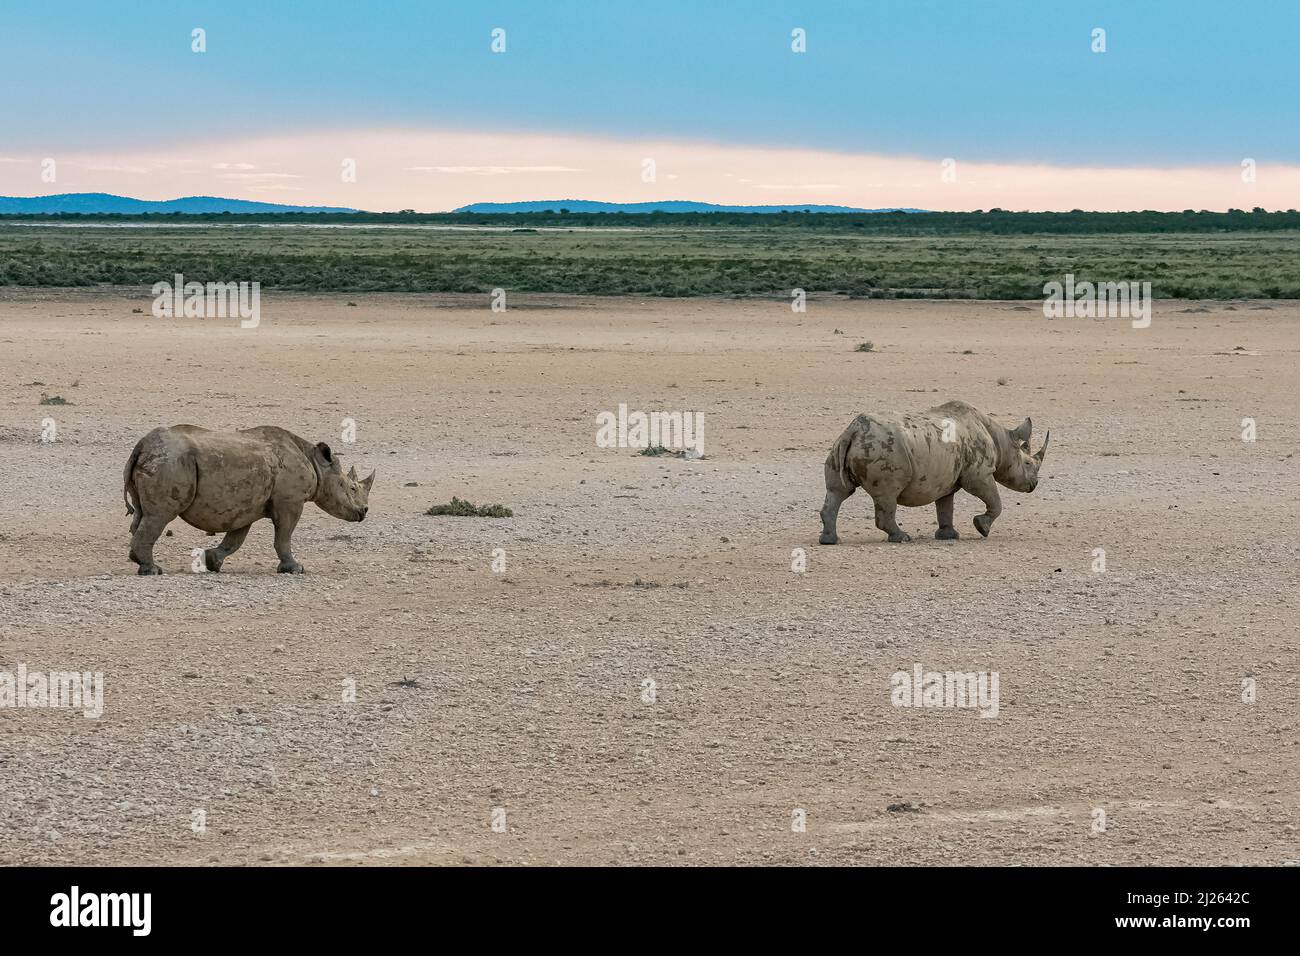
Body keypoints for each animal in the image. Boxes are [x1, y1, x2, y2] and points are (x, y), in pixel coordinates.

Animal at [122, 425, 374, 575]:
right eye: (352, 488)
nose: (364, 511)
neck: (317, 464)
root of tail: (141, 446)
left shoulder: (245, 505)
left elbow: (235, 539)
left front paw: (213, 561)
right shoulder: (290, 501)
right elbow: (284, 537)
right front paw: (295, 569)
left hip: (162, 461)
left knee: (143, 514)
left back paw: (140, 562)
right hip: (170, 462)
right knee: (159, 515)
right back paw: (153, 570)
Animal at [818, 400, 1048, 544]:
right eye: (1028, 463)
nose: (1034, 485)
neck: (1003, 442)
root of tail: (854, 431)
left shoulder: (946, 478)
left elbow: (945, 506)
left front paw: (949, 535)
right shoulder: (979, 474)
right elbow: (995, 502)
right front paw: (982, 528)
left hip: (842, 444)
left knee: (837, 491)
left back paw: (830, 541)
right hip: (884, 449)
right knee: (887, 495)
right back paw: (903, 538)